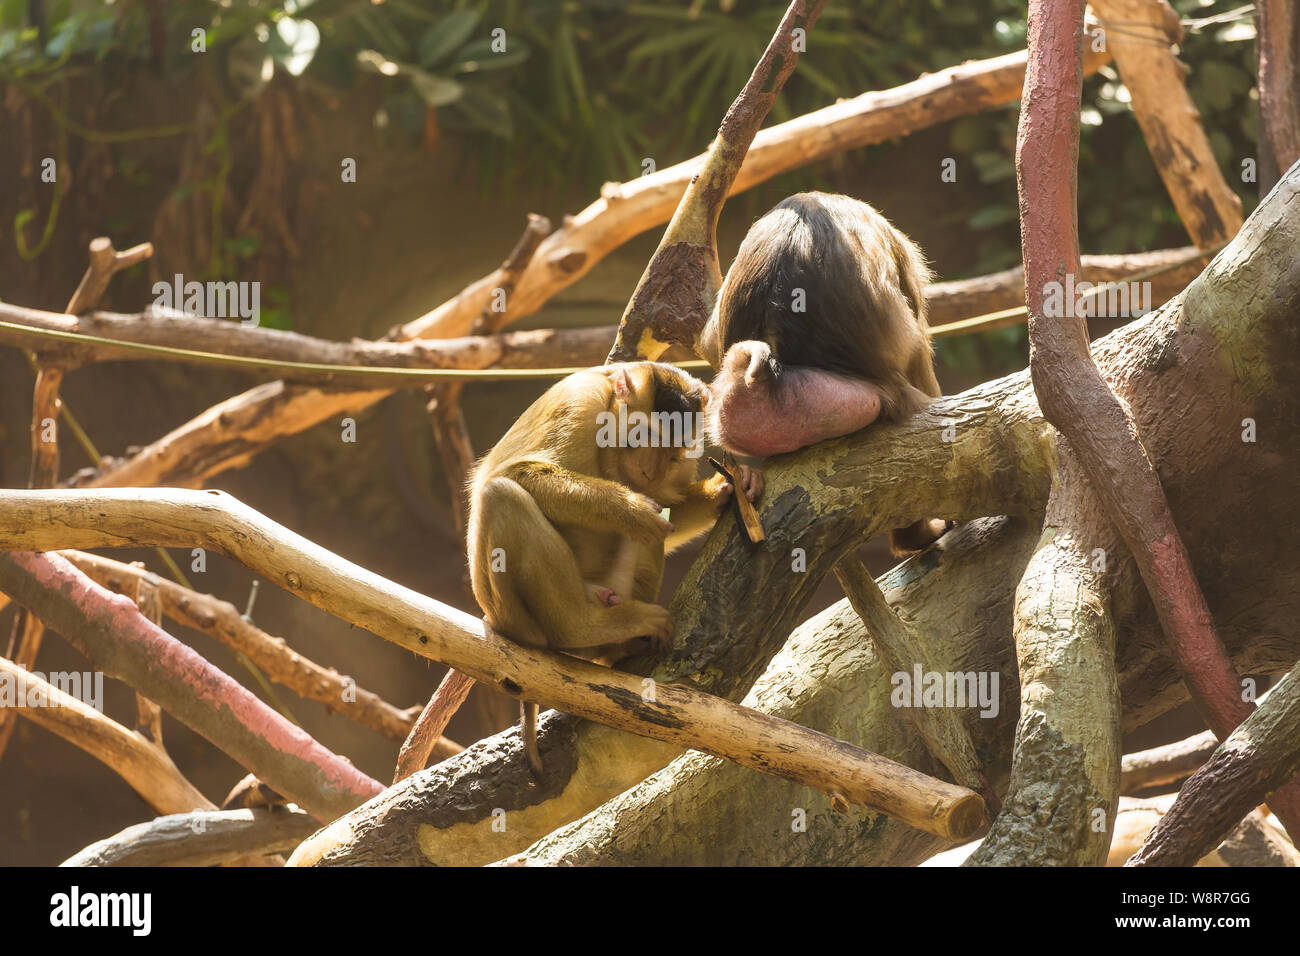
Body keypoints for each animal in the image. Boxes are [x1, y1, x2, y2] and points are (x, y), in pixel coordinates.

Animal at [467, 361, 762, 774]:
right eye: (644, 435)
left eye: (673, 454)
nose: (650, 471)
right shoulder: (578, 403)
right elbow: (513, 473)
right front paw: (629, 510)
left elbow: (669, 517)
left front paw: (727, 488)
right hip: (514, 618)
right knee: (501, 495)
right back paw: (581, 625)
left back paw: (622, 643)